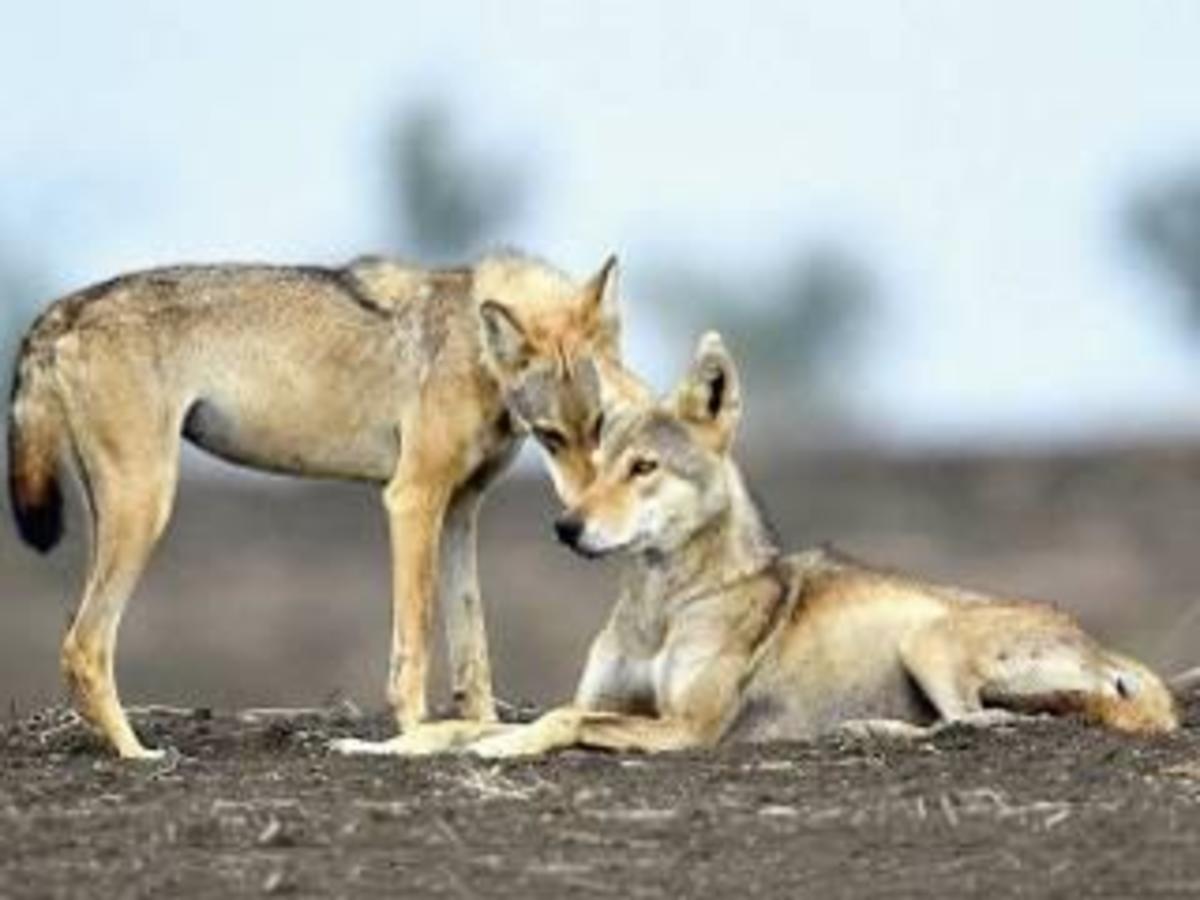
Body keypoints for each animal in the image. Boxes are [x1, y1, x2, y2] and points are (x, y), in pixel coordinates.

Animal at [7, 251, 646, 758]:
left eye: (599, 425)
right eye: (551, 436)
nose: (575, 524)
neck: (472, 347)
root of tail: (64, 306)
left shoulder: (461, 513)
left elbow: (474, 652)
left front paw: (486, 731)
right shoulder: (412, 500)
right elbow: (415, 644)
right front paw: (416, 737)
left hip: (119, 513)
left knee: (78, 643)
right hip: (147, 508)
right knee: (84, 645)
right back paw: (138, 754)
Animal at [357, 331, 1179, 759]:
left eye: (643, 468)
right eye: (596, 464)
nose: (566, 528)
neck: (663, 605)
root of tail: (1105, 646)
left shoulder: (687, 729)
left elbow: (559, 721)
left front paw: (502, 749)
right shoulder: (607, 697)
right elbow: (460, 722)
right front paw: (383, 748)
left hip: (930, 640)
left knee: (985, 723)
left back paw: (870, 728)